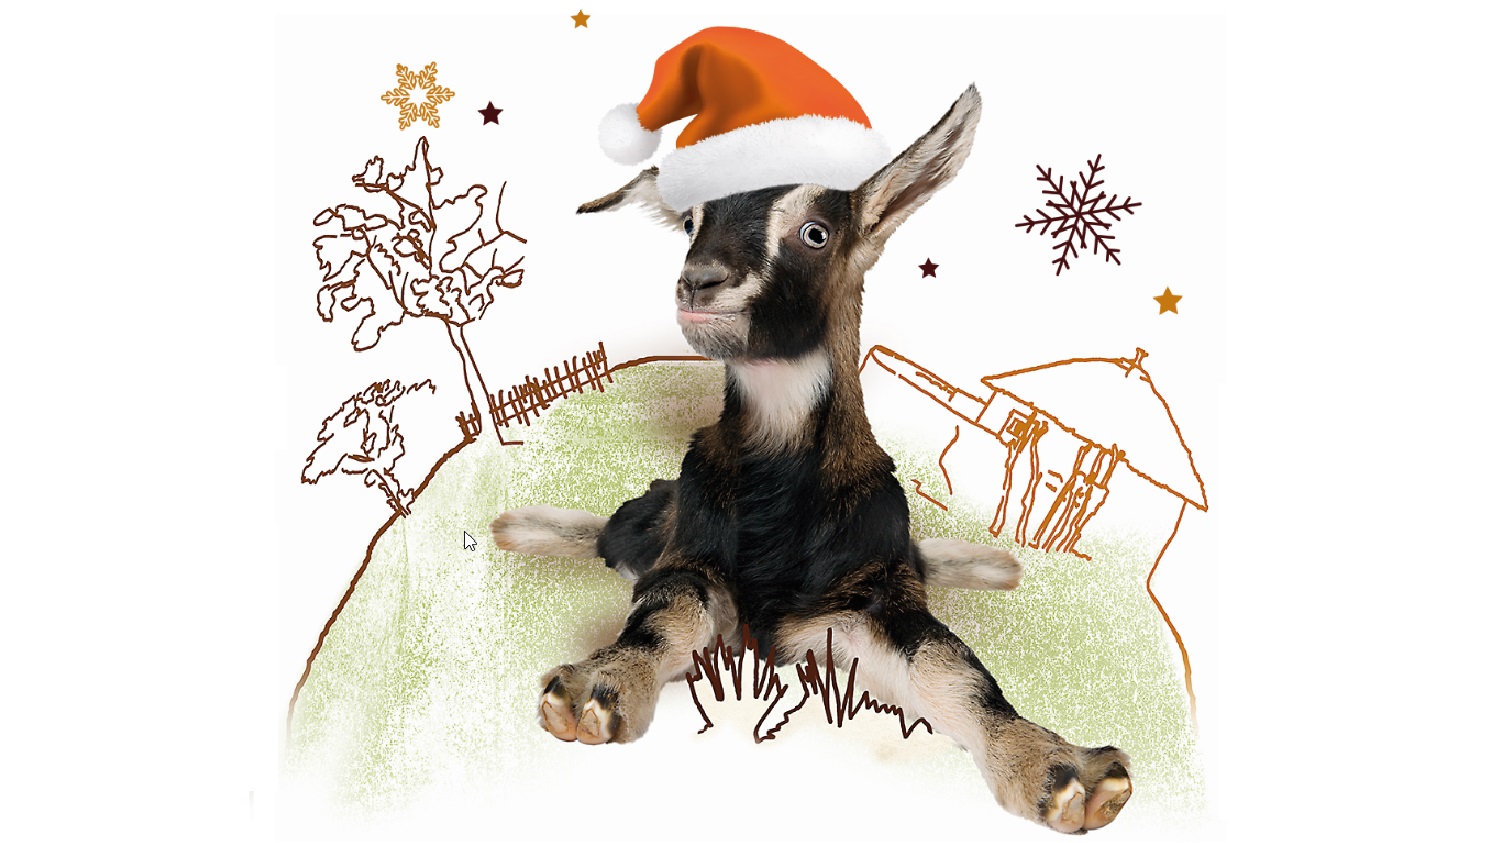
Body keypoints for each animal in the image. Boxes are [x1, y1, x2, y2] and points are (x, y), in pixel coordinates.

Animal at [491, 86, 1132, 834]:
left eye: (816, 232)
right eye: (690, 222)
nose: (699, 282)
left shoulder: (866, 600)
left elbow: (953, 669)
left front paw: (1061, 770)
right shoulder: (690, 561)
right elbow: (661, 616)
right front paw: (598, 685)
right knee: (613, 529)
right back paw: (524, 526)